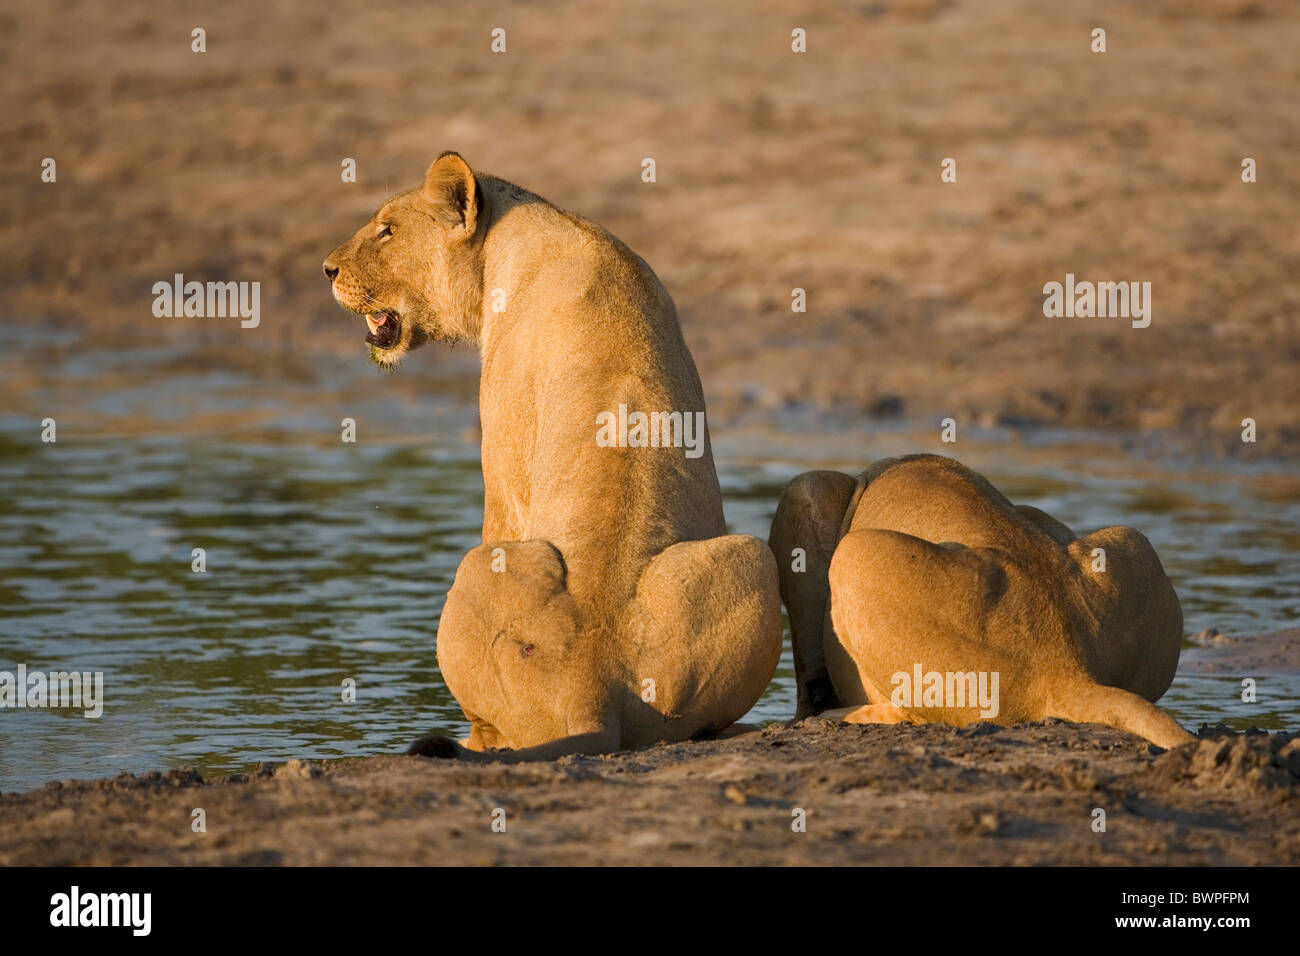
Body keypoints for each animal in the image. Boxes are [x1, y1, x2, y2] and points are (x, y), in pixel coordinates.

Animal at [323, 152, 782, 762]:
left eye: (387, 230)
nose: (326, 269)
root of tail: (592, 685)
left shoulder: (502, 444)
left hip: (478, 565)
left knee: (492, 729)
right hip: (750, 556)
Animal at [768, 454, 1193, 749]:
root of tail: (1067, 666)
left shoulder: (804, 498)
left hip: (853, 553)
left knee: (910, 713)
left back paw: (836, 715)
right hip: (1131, 540)